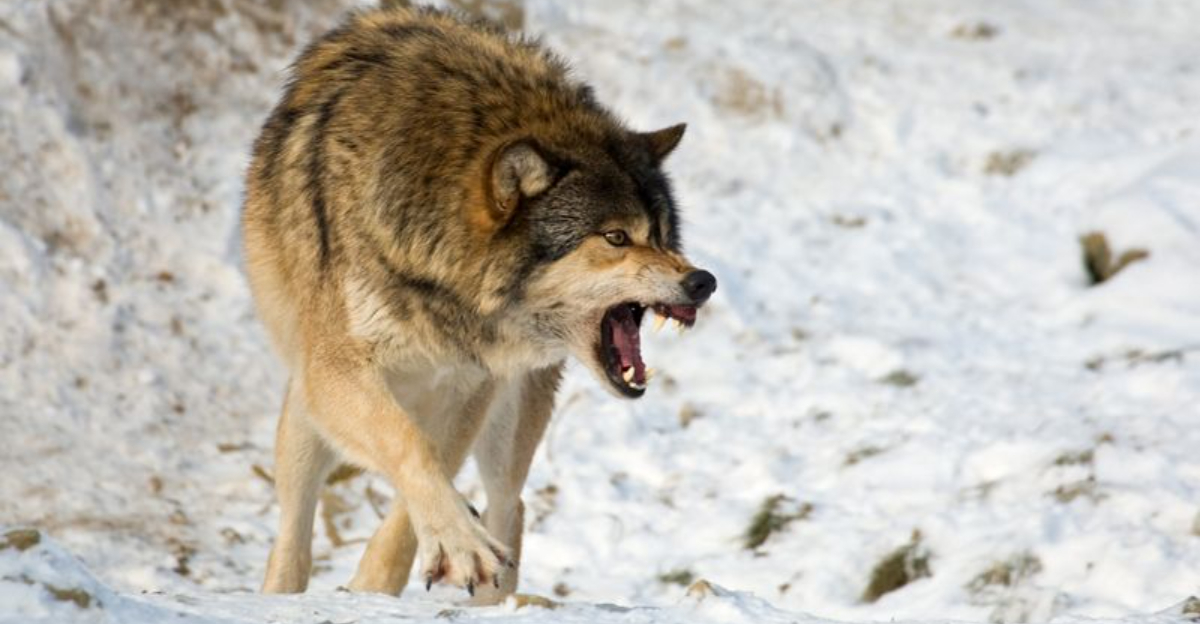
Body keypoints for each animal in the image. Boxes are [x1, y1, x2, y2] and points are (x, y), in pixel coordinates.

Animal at [241, 4, 716, 604]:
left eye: (662, 235)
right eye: (616, 238)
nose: (703, 281)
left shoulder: (471, 384)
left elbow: (419, 493)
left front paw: (388, 582)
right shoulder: (335, 372)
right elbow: (410, 450)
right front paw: (455, 548)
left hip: (509, 416)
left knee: (510, 504)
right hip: (305, 416)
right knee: (293, 524)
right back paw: (280, 591)